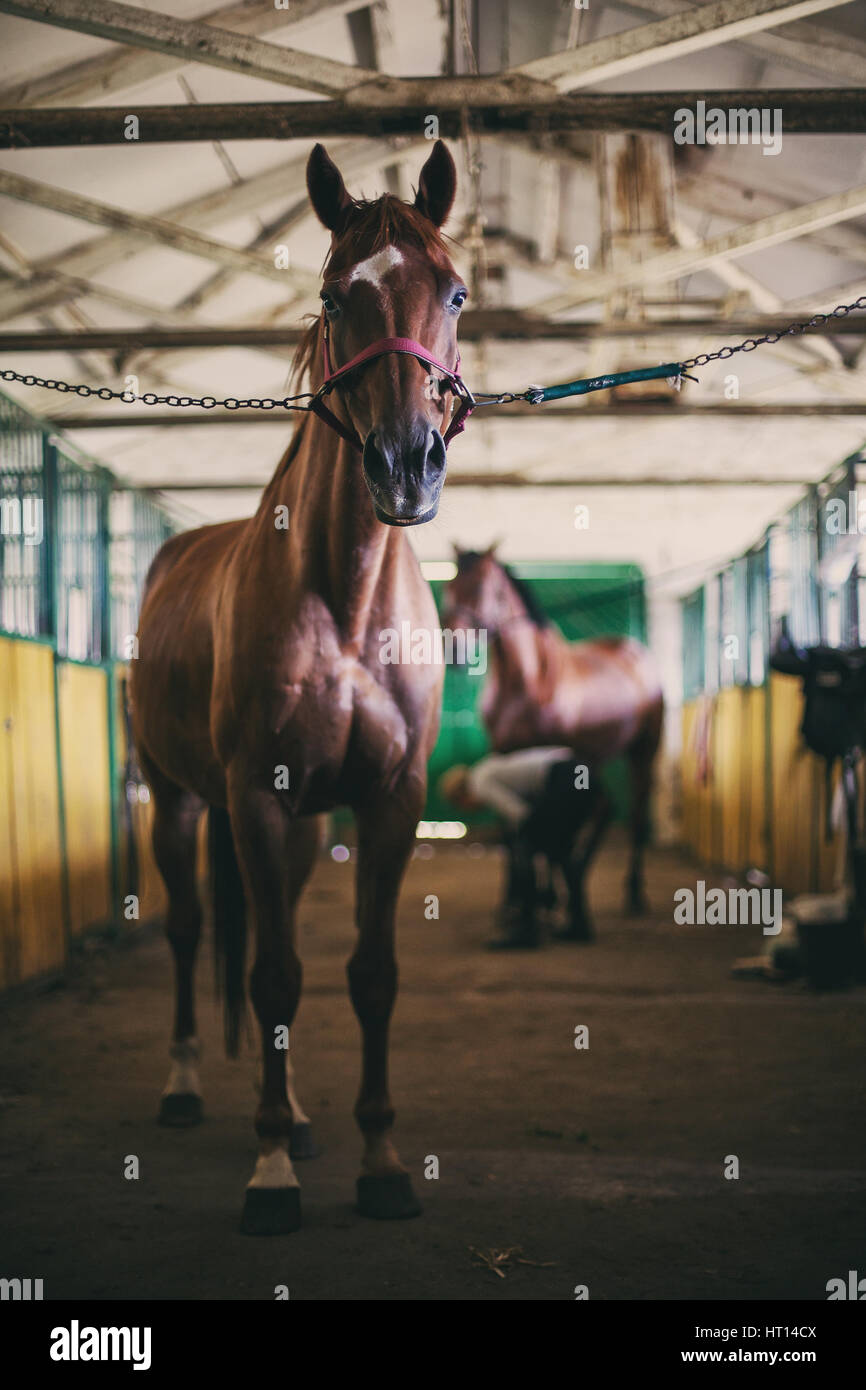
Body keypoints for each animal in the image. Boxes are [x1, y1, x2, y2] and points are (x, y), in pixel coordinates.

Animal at [130, 139, 466, 1235]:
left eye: (453, 290)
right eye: (332, 296)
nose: (405, 464)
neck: (345, 597)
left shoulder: (389, 800)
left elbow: (369, 975)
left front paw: (380, 1159)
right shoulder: (255, 798)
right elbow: (272, 976)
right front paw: (271, 1171)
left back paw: (305, 1115)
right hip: (178, 800)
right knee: (194, 934)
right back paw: (186, 1087)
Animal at [442, 547, 664, 938]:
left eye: (483, 586)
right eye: (449, 586)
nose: (454, 648)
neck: (528, 681)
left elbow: (542, 832)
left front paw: (545, 899)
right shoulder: (502, 754)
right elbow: (509, 832)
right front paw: (512, 903)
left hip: (642, 753)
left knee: (635, 817)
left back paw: (633, 895)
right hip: (594, 759)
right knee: (603, 811)